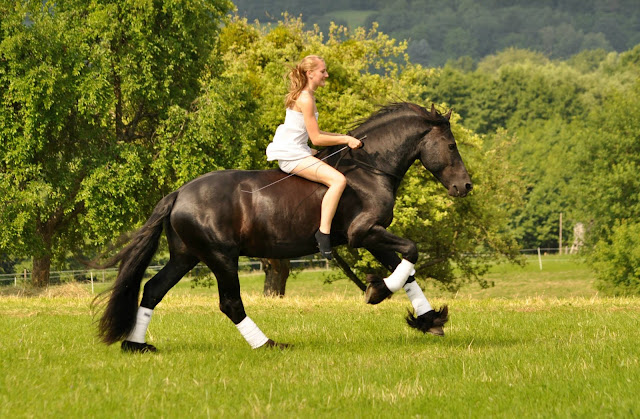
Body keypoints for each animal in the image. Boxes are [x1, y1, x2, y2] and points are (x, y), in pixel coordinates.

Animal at [95, 102, 473, 352]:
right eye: (451, 145)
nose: (465, 186)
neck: (369, 169)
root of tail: (178, 194)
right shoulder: (363, 233)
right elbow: (411, 252)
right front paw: (378, 291)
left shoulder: (373, 236)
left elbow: (407, 272)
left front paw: (428, 321)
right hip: (220, 257)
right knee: (230, 303)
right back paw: (268, 345)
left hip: (186, 256)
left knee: (153, 290)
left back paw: (137, 346)